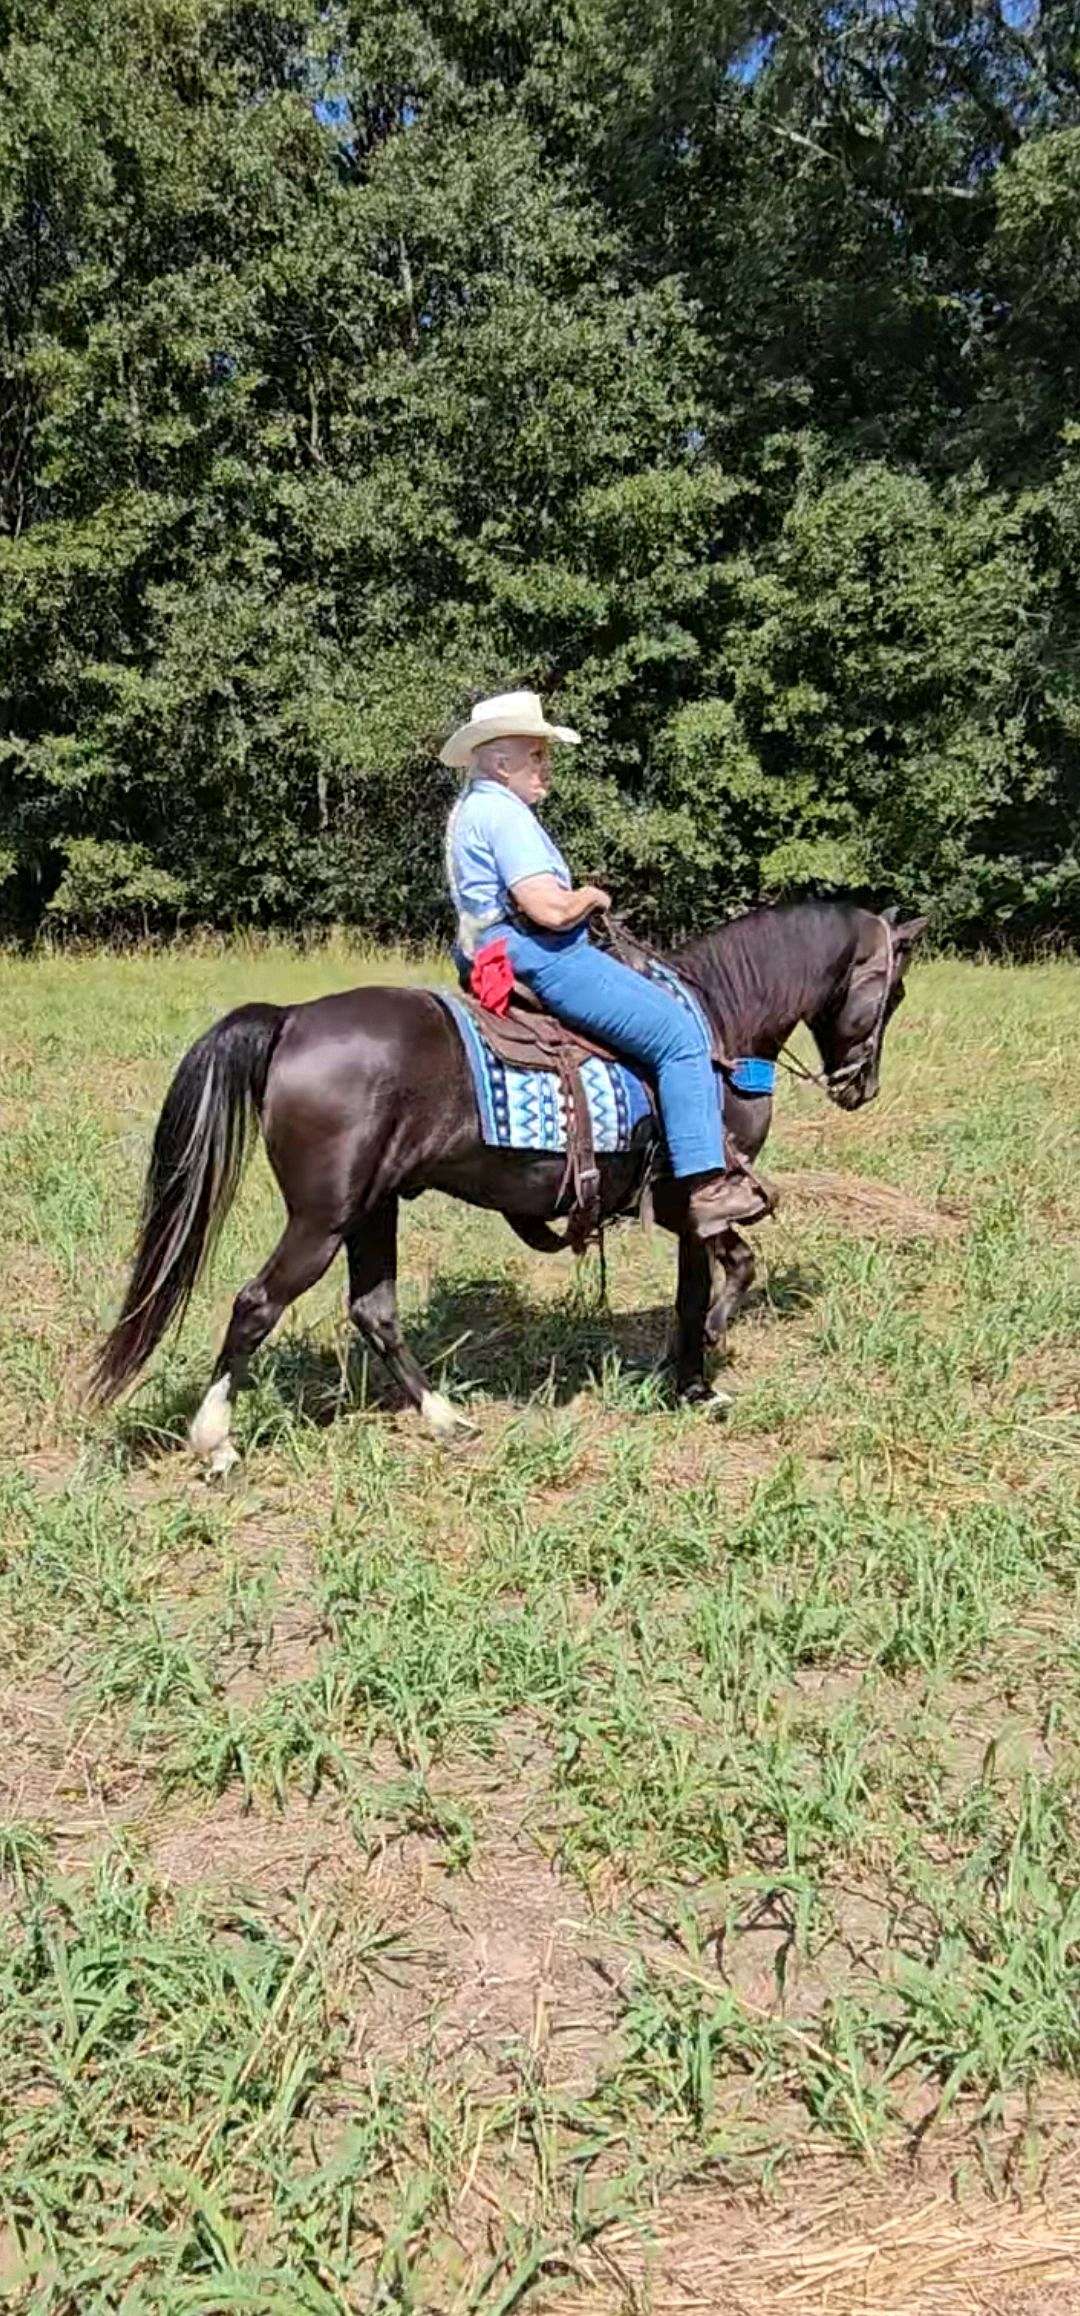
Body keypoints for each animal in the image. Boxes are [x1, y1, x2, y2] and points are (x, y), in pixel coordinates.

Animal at [90, 899, 926, 1470]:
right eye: (893, 994)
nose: (862, 1087)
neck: (720, 1025)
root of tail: (293, 1019)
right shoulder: (696, 1198)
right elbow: (716, 1279)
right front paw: (703, 1368)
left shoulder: (675, 1207)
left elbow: (721, 1275)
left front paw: (693, 1364)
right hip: (321, 1219)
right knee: (256, 1304)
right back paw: (216, 1441)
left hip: (372, 1208)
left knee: (374, 1309)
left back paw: (443, 1416)